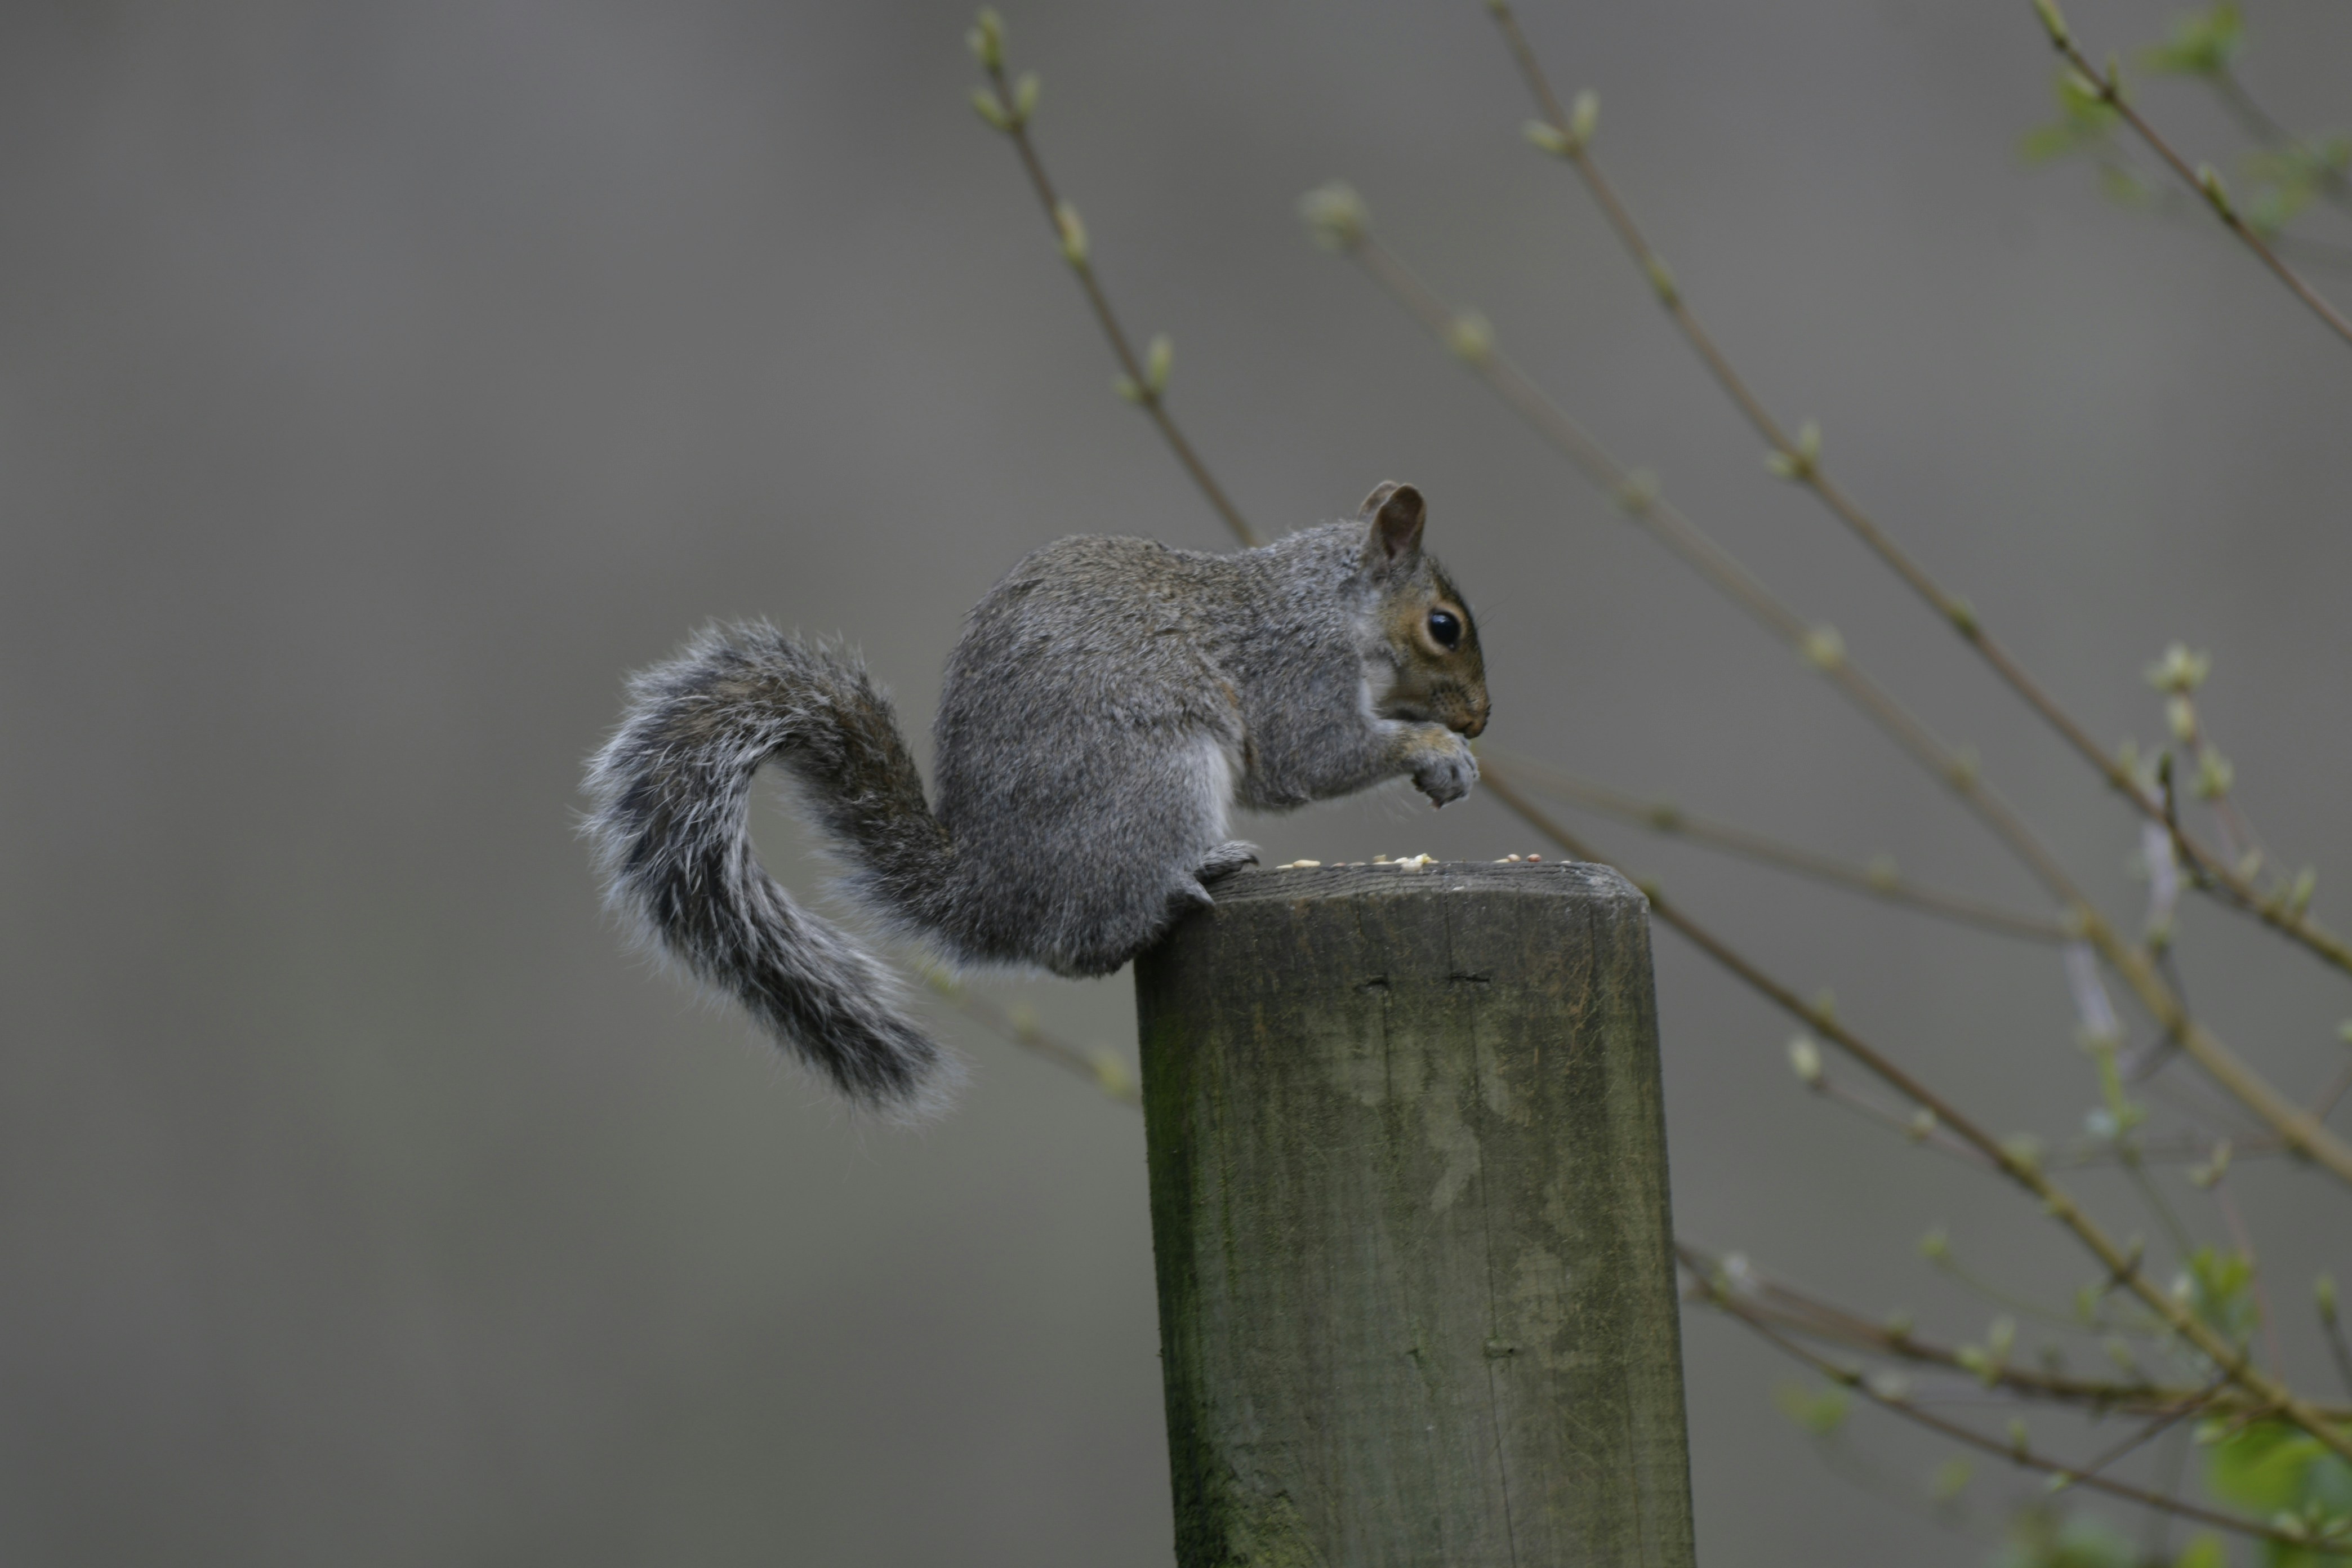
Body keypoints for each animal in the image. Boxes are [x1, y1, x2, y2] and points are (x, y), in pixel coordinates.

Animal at [583, 481, 1489, 1119]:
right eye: (1444, 626)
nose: (1482, 718)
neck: (1330, 605)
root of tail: (995, 891)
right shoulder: (1295, 673)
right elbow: (1315, 756)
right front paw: (1435, 752)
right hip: (1156, 783)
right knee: (1081, 941)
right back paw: (1187, 883)